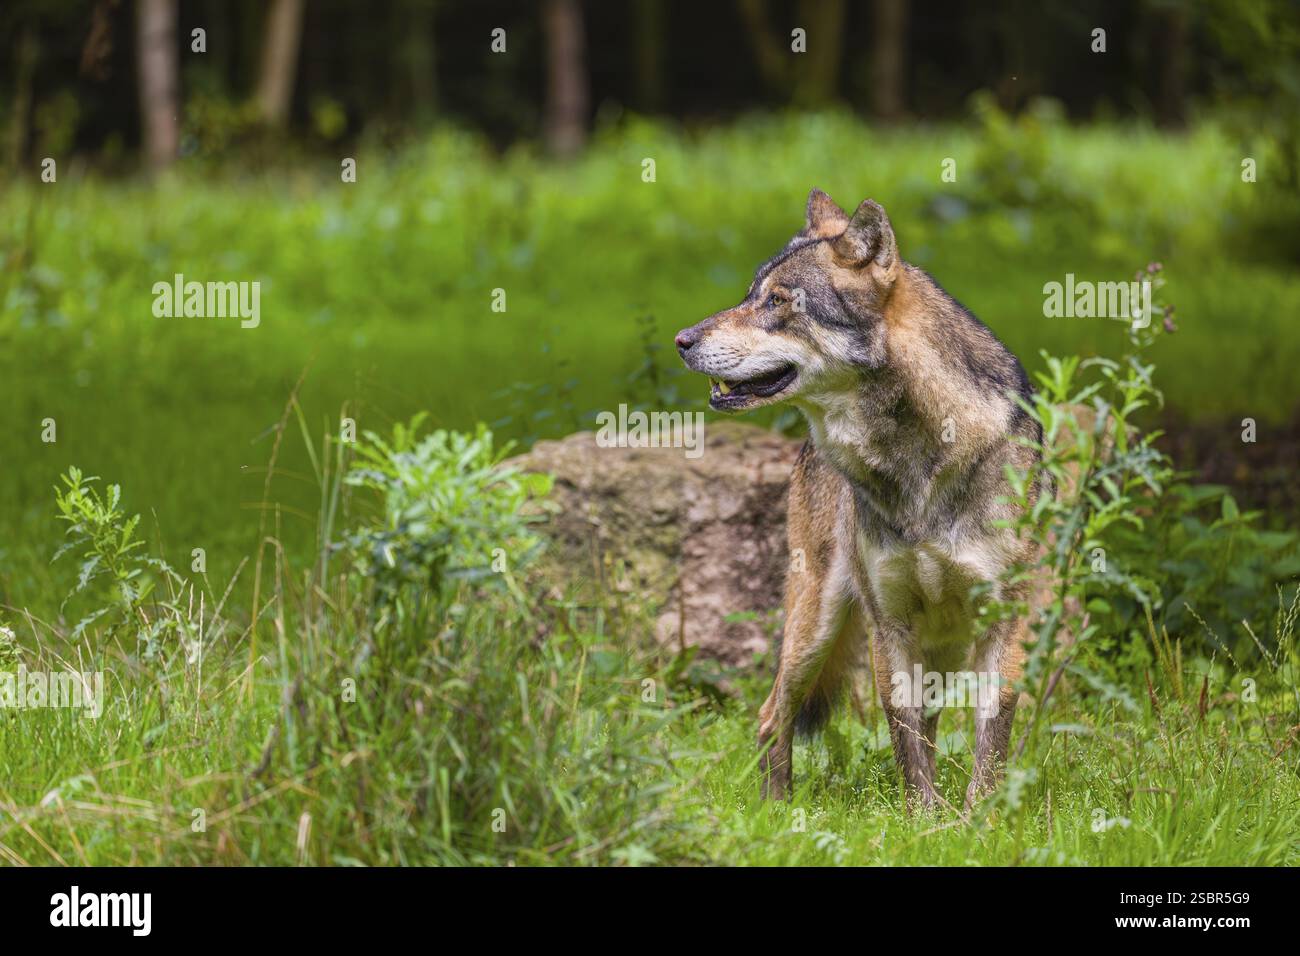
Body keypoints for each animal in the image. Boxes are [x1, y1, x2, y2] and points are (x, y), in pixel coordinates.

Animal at [674, 190, 1041, 810]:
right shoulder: (887, 622)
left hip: (937, 647)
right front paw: (926, 822)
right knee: (771, 715)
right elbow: (907, 745)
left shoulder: (1003, 623)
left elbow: (987, 747)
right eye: (750, 294)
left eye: (777, 301)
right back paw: (777, 810)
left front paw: (976, 822)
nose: (681, 341)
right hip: (815, 622)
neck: (919, 462)